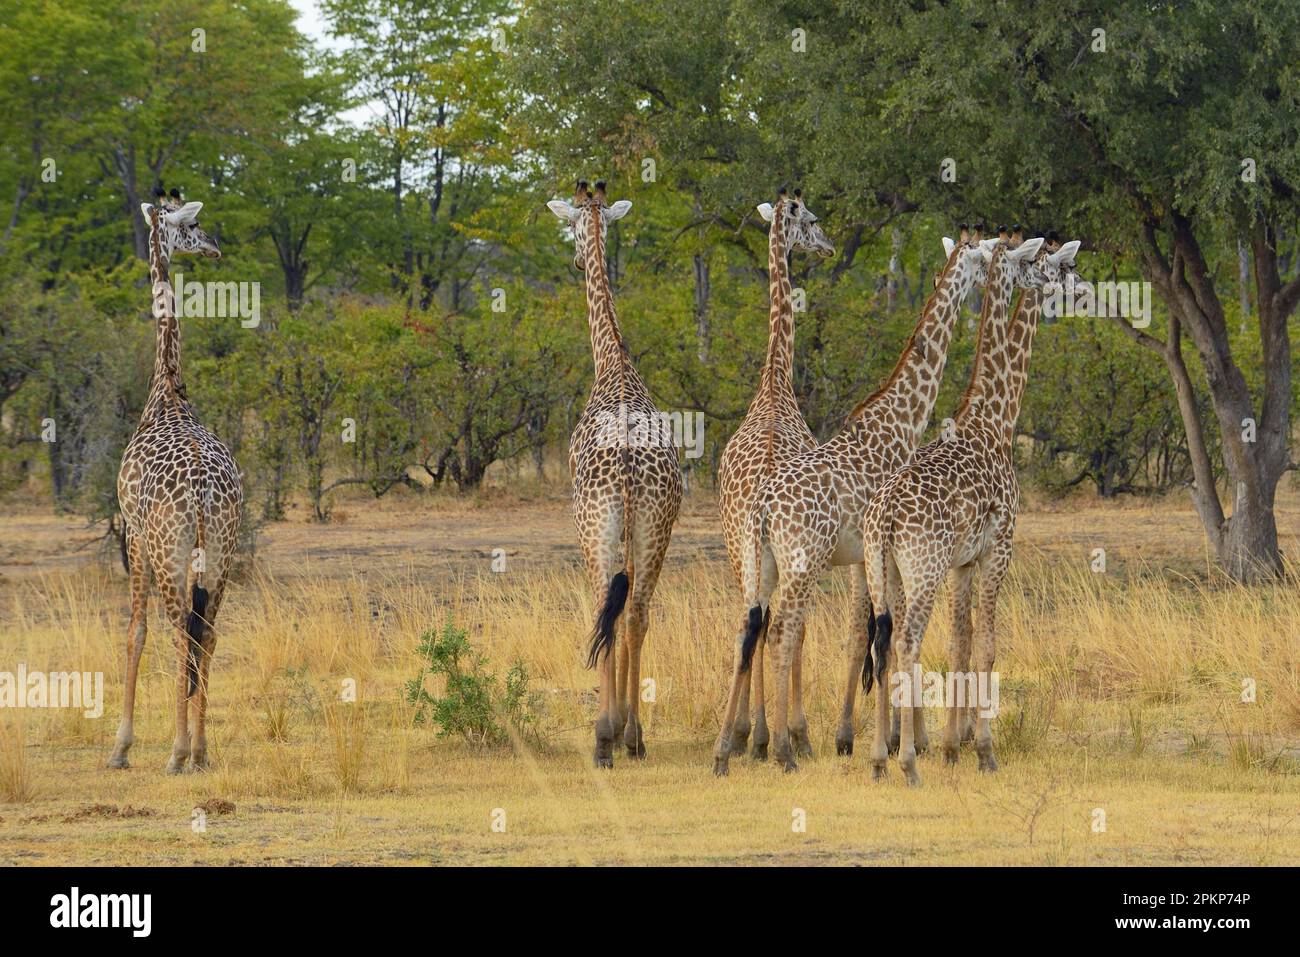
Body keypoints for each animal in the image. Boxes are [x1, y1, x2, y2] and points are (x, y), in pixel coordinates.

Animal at [712, 225, 998, 775]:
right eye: (978, 260)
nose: (990, 275)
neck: (900, 419)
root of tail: (761, 504)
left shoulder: (865, 559)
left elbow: (868, 636)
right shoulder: (880, 555)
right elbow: (878, 634)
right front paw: (891, 741)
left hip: (754, 559)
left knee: (751, 627)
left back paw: (735, 745)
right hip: (800, 562)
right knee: (781, 632)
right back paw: (782, 747)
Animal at [861, 232, 1080, 786]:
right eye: (1060, 267)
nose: (1085, 288)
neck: (996, 417)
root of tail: (885, 517)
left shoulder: (963, 562)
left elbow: (960, 641)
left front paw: (952, 746)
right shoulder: (998, 548)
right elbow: (987, 644)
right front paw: (981, 750)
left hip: (881, 569)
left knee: (881, 643)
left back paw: (879, 758)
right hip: (923, 567)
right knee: (906, 642)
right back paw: (908, 762)